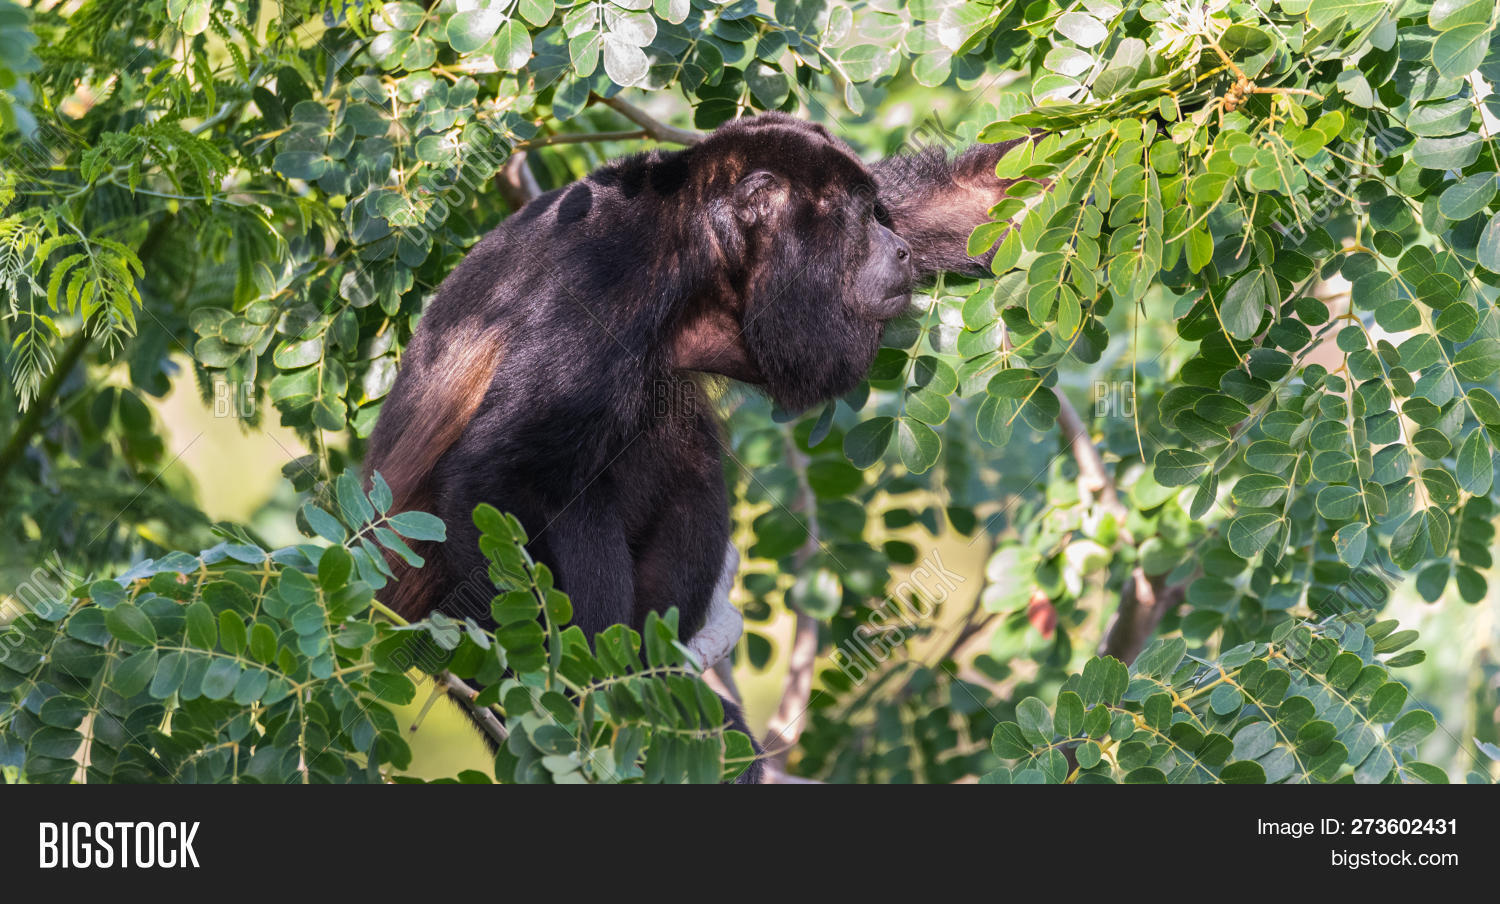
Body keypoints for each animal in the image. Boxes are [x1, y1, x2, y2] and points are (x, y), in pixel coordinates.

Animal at [363, 112, 1024, 782]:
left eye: (880, 212)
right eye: (862, 217)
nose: (900, 249)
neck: (694, 244)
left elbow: (976, 201)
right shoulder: (602, 280)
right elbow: (495, 473)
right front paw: (582, 701)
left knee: (682, 446)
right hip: (451, 620)